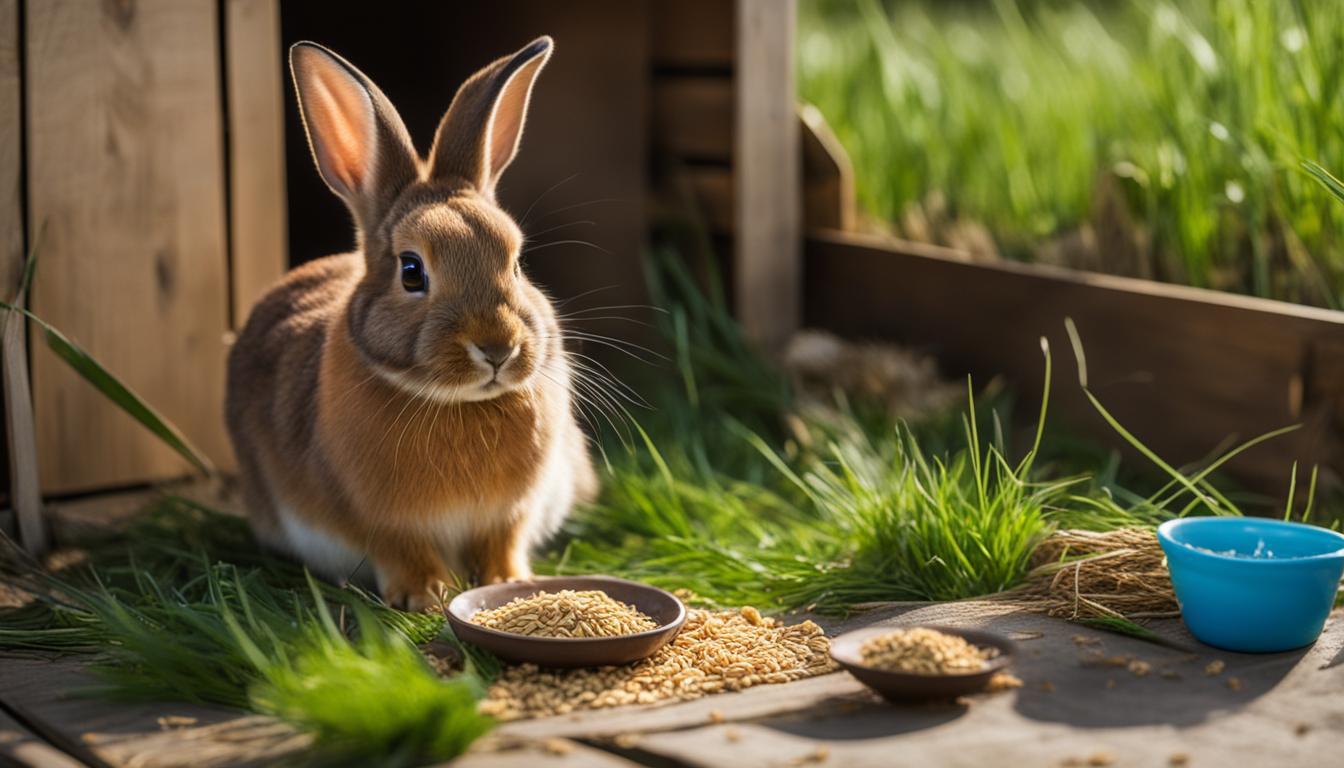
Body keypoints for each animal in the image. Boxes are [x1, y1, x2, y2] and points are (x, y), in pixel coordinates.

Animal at [225, 36, 597, 610]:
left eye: (516, 263)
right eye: (411, 271)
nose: (497, 349)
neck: (458, 403)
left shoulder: (510, 515)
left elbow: (501, 542)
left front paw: (510, 583)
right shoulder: (382, 523)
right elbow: (404, 551)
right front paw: (427, 596)